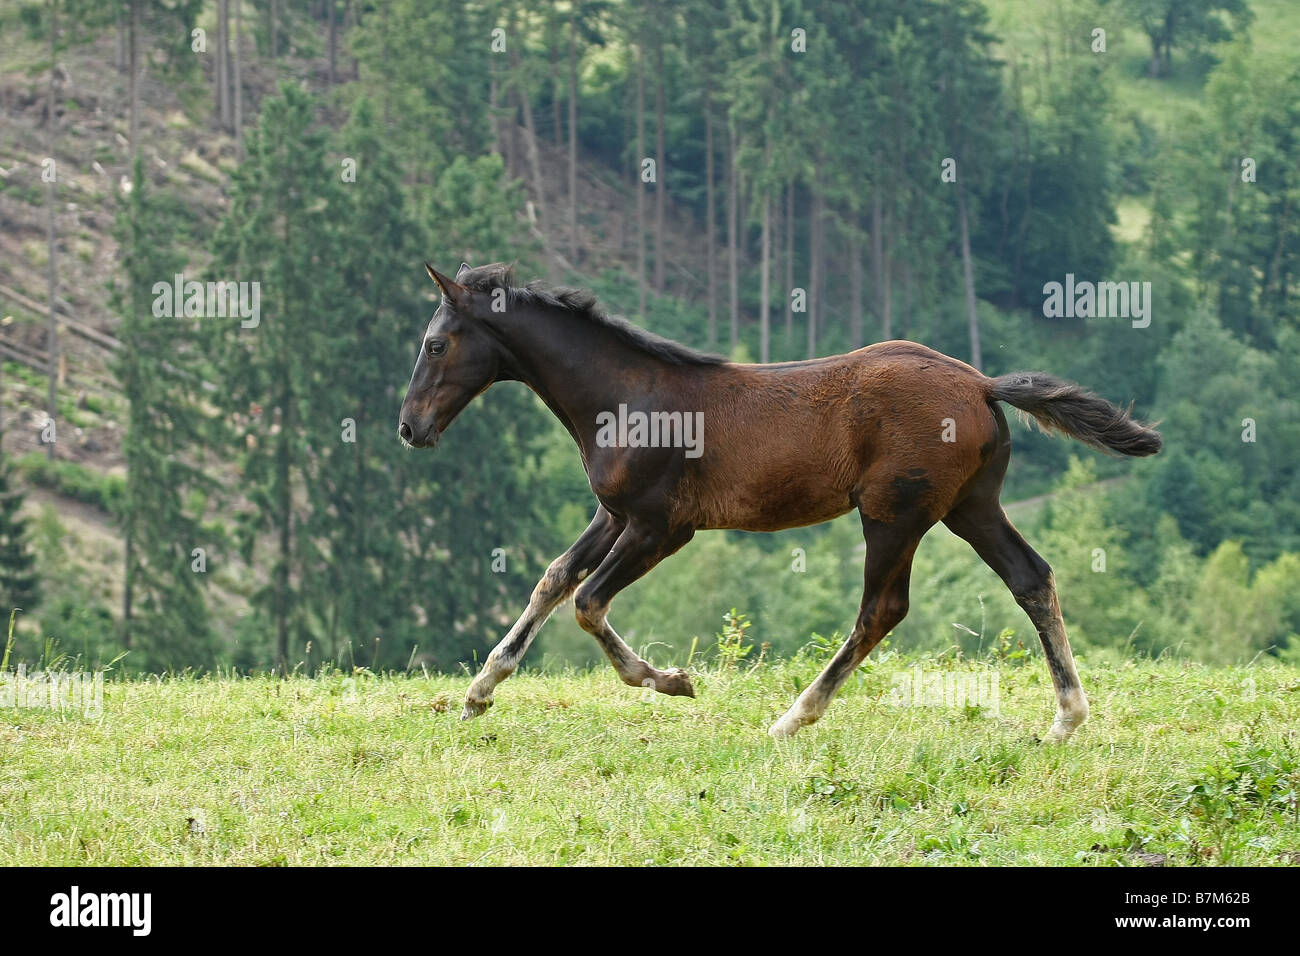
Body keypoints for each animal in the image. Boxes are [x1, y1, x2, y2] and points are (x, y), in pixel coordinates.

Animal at [398, 262, 1162, 739]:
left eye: (435, 344)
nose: (409, 428)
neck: (627, 396)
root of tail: (980, 384)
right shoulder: (614, 514)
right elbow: (554, 579)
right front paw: (479, 691)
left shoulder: (662, 526)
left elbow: (587, 603)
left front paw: (670, 680)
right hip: (970, 506)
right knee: (1031, 578)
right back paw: (1066, 719)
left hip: (895, 513)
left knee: (882, 609)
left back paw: (794, 717)